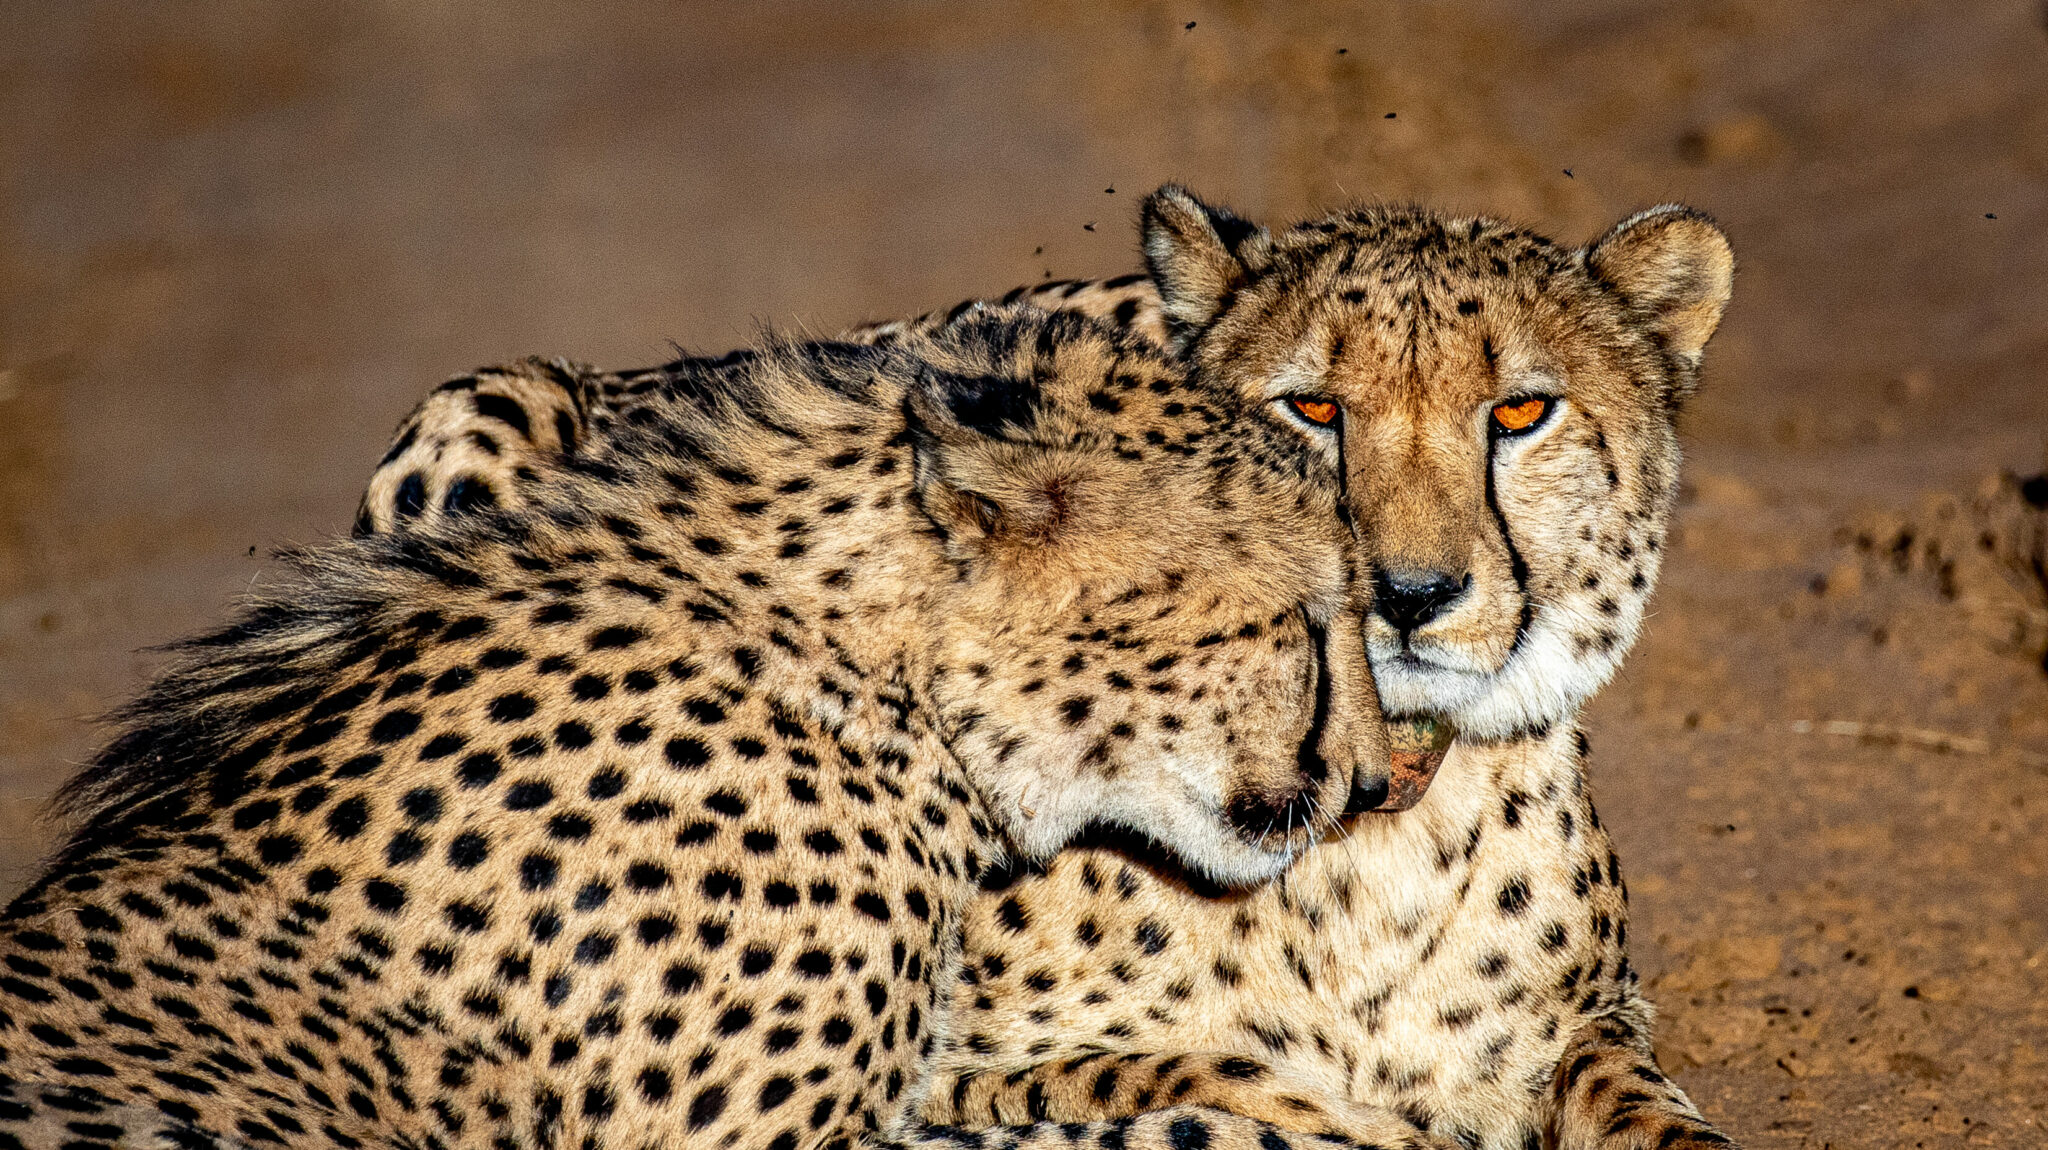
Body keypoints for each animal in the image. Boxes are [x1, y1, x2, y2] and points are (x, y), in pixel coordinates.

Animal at [344, 184, 1740, 1150]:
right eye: (1310, 409)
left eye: (1519, 413)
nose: (1407, 594)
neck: (1371, 839)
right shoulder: (917, 1073)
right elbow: (1191, 1075)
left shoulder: (1594, 1021)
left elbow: (1646, 1106)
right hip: (484, 406)